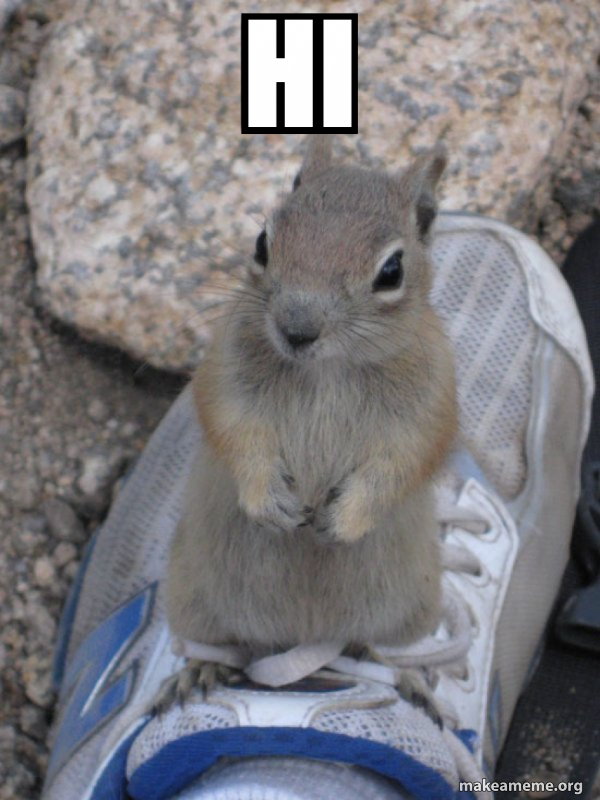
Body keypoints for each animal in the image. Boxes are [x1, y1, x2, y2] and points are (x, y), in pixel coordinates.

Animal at [162, 134, 458, 705]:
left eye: (392, 272)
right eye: (262, 243)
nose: (296, 328)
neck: (325, 370)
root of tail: (307, 634)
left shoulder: (427, 409)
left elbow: (400, 465)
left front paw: (345, 519)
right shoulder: (227, 378)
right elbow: (237, 435)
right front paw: (269, 501)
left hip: (414, 609)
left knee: (369, 644)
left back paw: (405, 678)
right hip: (191, 597)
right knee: (228, 646)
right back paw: (201, 671)